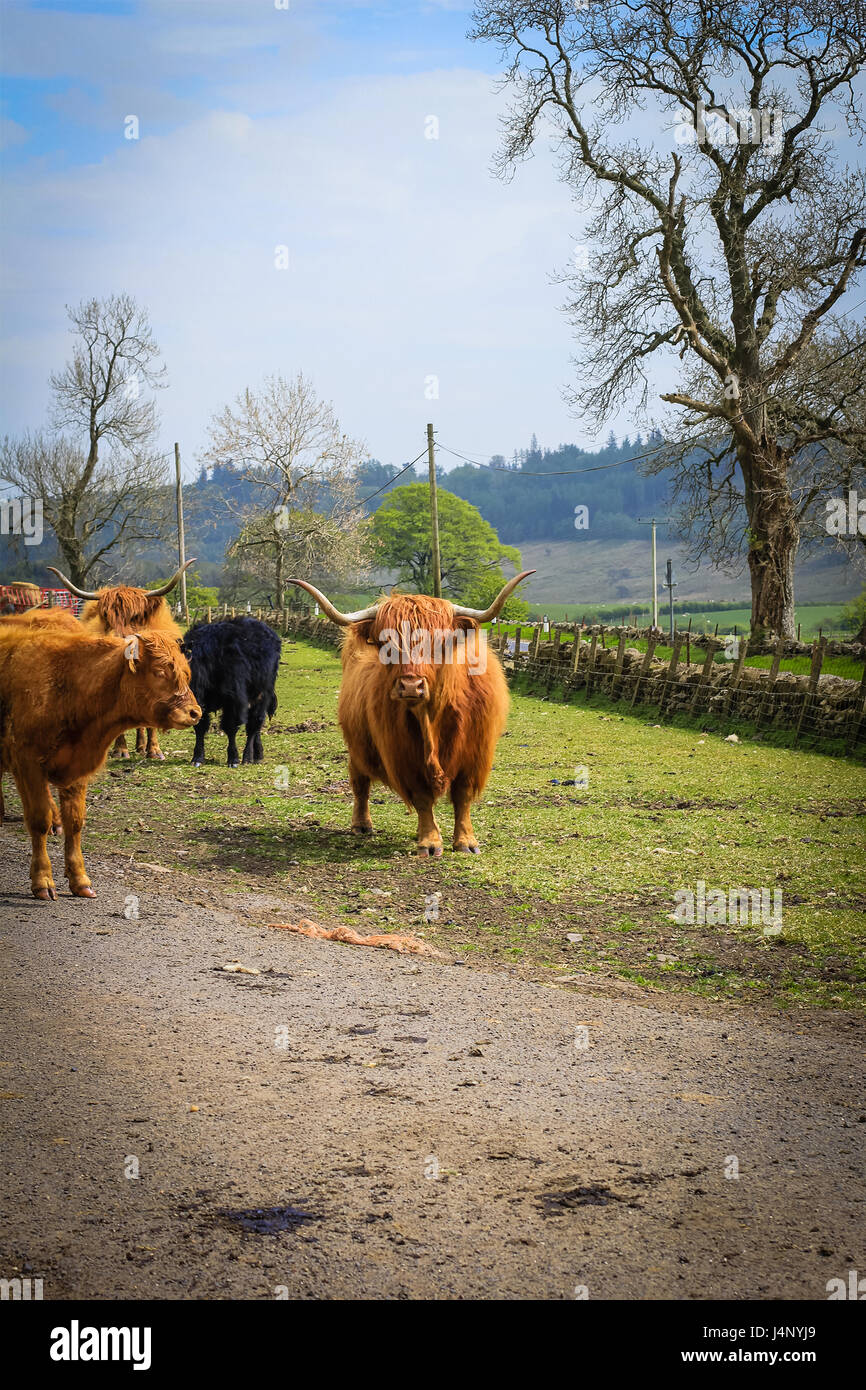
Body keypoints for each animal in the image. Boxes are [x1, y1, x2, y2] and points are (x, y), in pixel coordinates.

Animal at [0, 623, 200, 900]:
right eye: (159, 672)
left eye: (186, 674)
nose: (195, 713)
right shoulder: (27, 765)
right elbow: (39, 821)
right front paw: (43, 881)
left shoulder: (77, 769)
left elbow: (75, 822)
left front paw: (80, 879)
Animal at [181, 616, 281, 767]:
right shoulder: (199, 703)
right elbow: (200, 727)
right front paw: (197, 757)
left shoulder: (234, 700)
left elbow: (230, 727)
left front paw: (233, 758)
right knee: (256, 726)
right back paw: (258, 754)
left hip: (262, 694)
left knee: (254, 724)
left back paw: (247, 757)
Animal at [287, 571, 535, 856]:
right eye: (386, 643)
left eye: (439, 642)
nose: (410, 686)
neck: (433, 716)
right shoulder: (404, 755)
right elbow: (422, 798)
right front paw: (430, 841)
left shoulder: (474, 755)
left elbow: (462, 798)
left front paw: (466, 841)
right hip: (357, 746)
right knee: (359, 783)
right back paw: (362, 824)